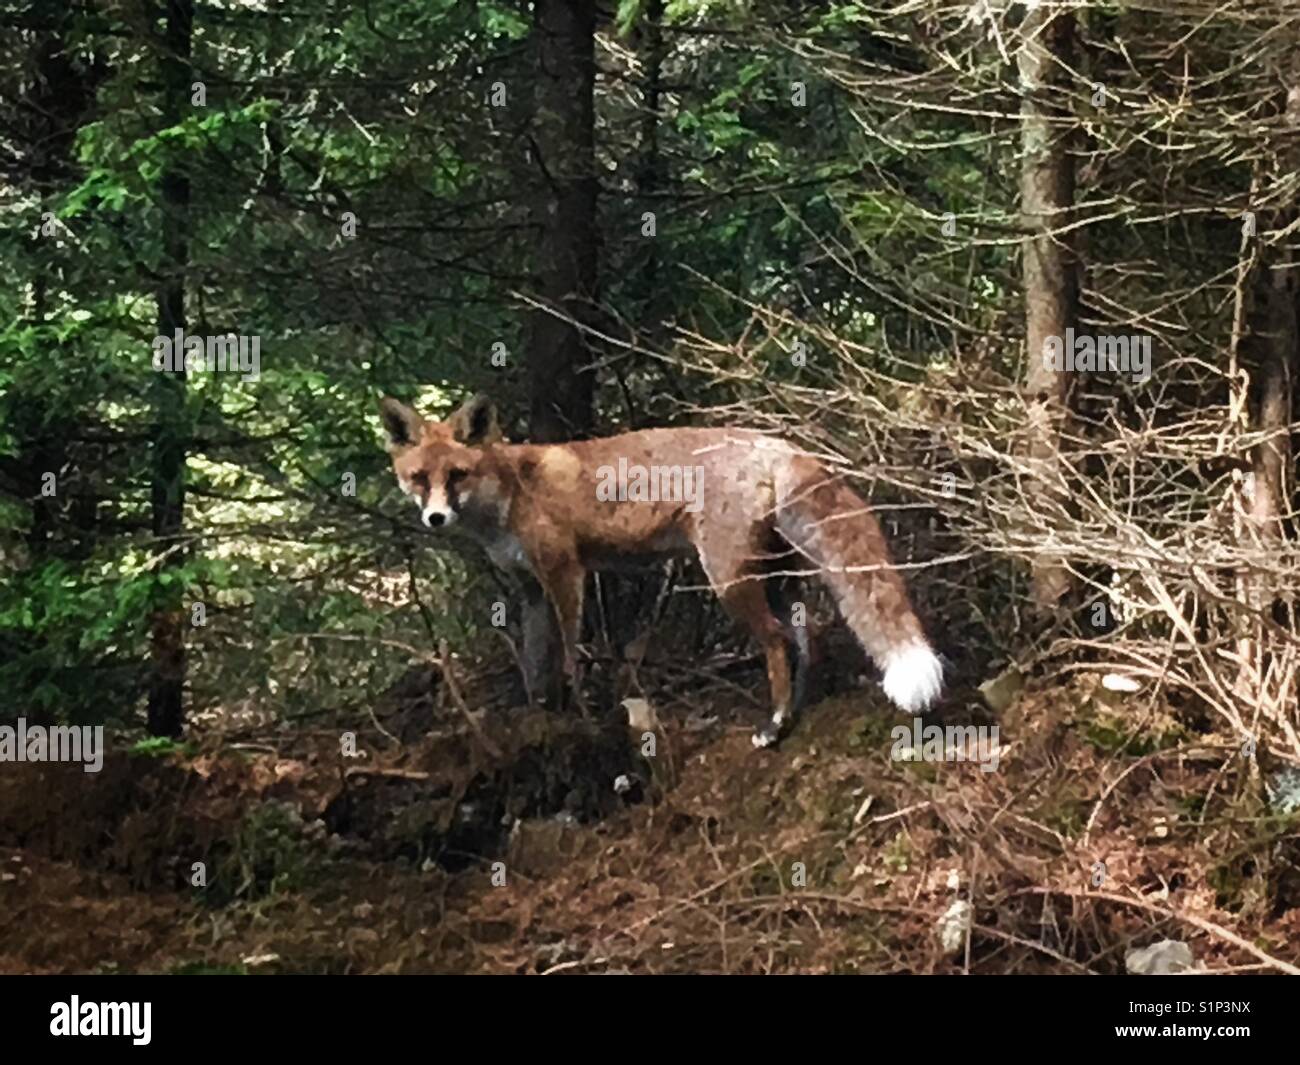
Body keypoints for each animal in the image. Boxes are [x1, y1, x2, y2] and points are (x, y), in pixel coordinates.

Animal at [379, 393, 943, 747]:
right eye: (418, 478)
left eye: (457, 475)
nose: (434, 518)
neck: (512, 494)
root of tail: (779, 445)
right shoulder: (530, 589)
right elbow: (538, 664)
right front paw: (541, 714)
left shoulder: (566, 571)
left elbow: (570, 657)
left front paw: (584, 717)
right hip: (777, 576)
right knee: (809, 639)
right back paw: (792, 715)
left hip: (727, 578)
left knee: (777, 641)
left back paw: (775, 724)